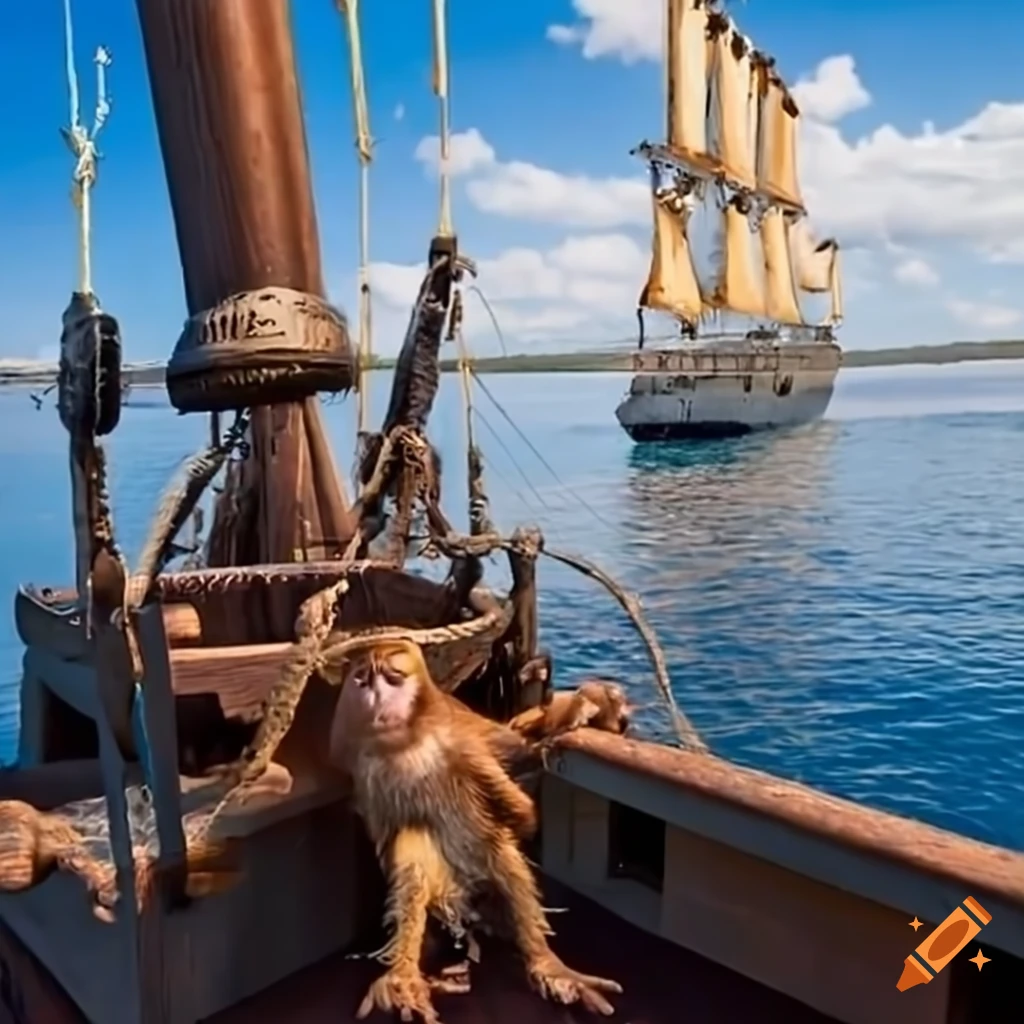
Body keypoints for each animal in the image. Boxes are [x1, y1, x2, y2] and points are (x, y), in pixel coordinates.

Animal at [328, 639, 622, 1023]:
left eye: (393, 678)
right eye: (363, 680)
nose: (379, 699)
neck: (406, 743)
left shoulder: (463, 732)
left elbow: (519, 783)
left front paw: (586, 707)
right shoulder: (363, 768)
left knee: (499, 854)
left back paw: (546, 963)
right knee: (416, 847)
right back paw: (408, 974)